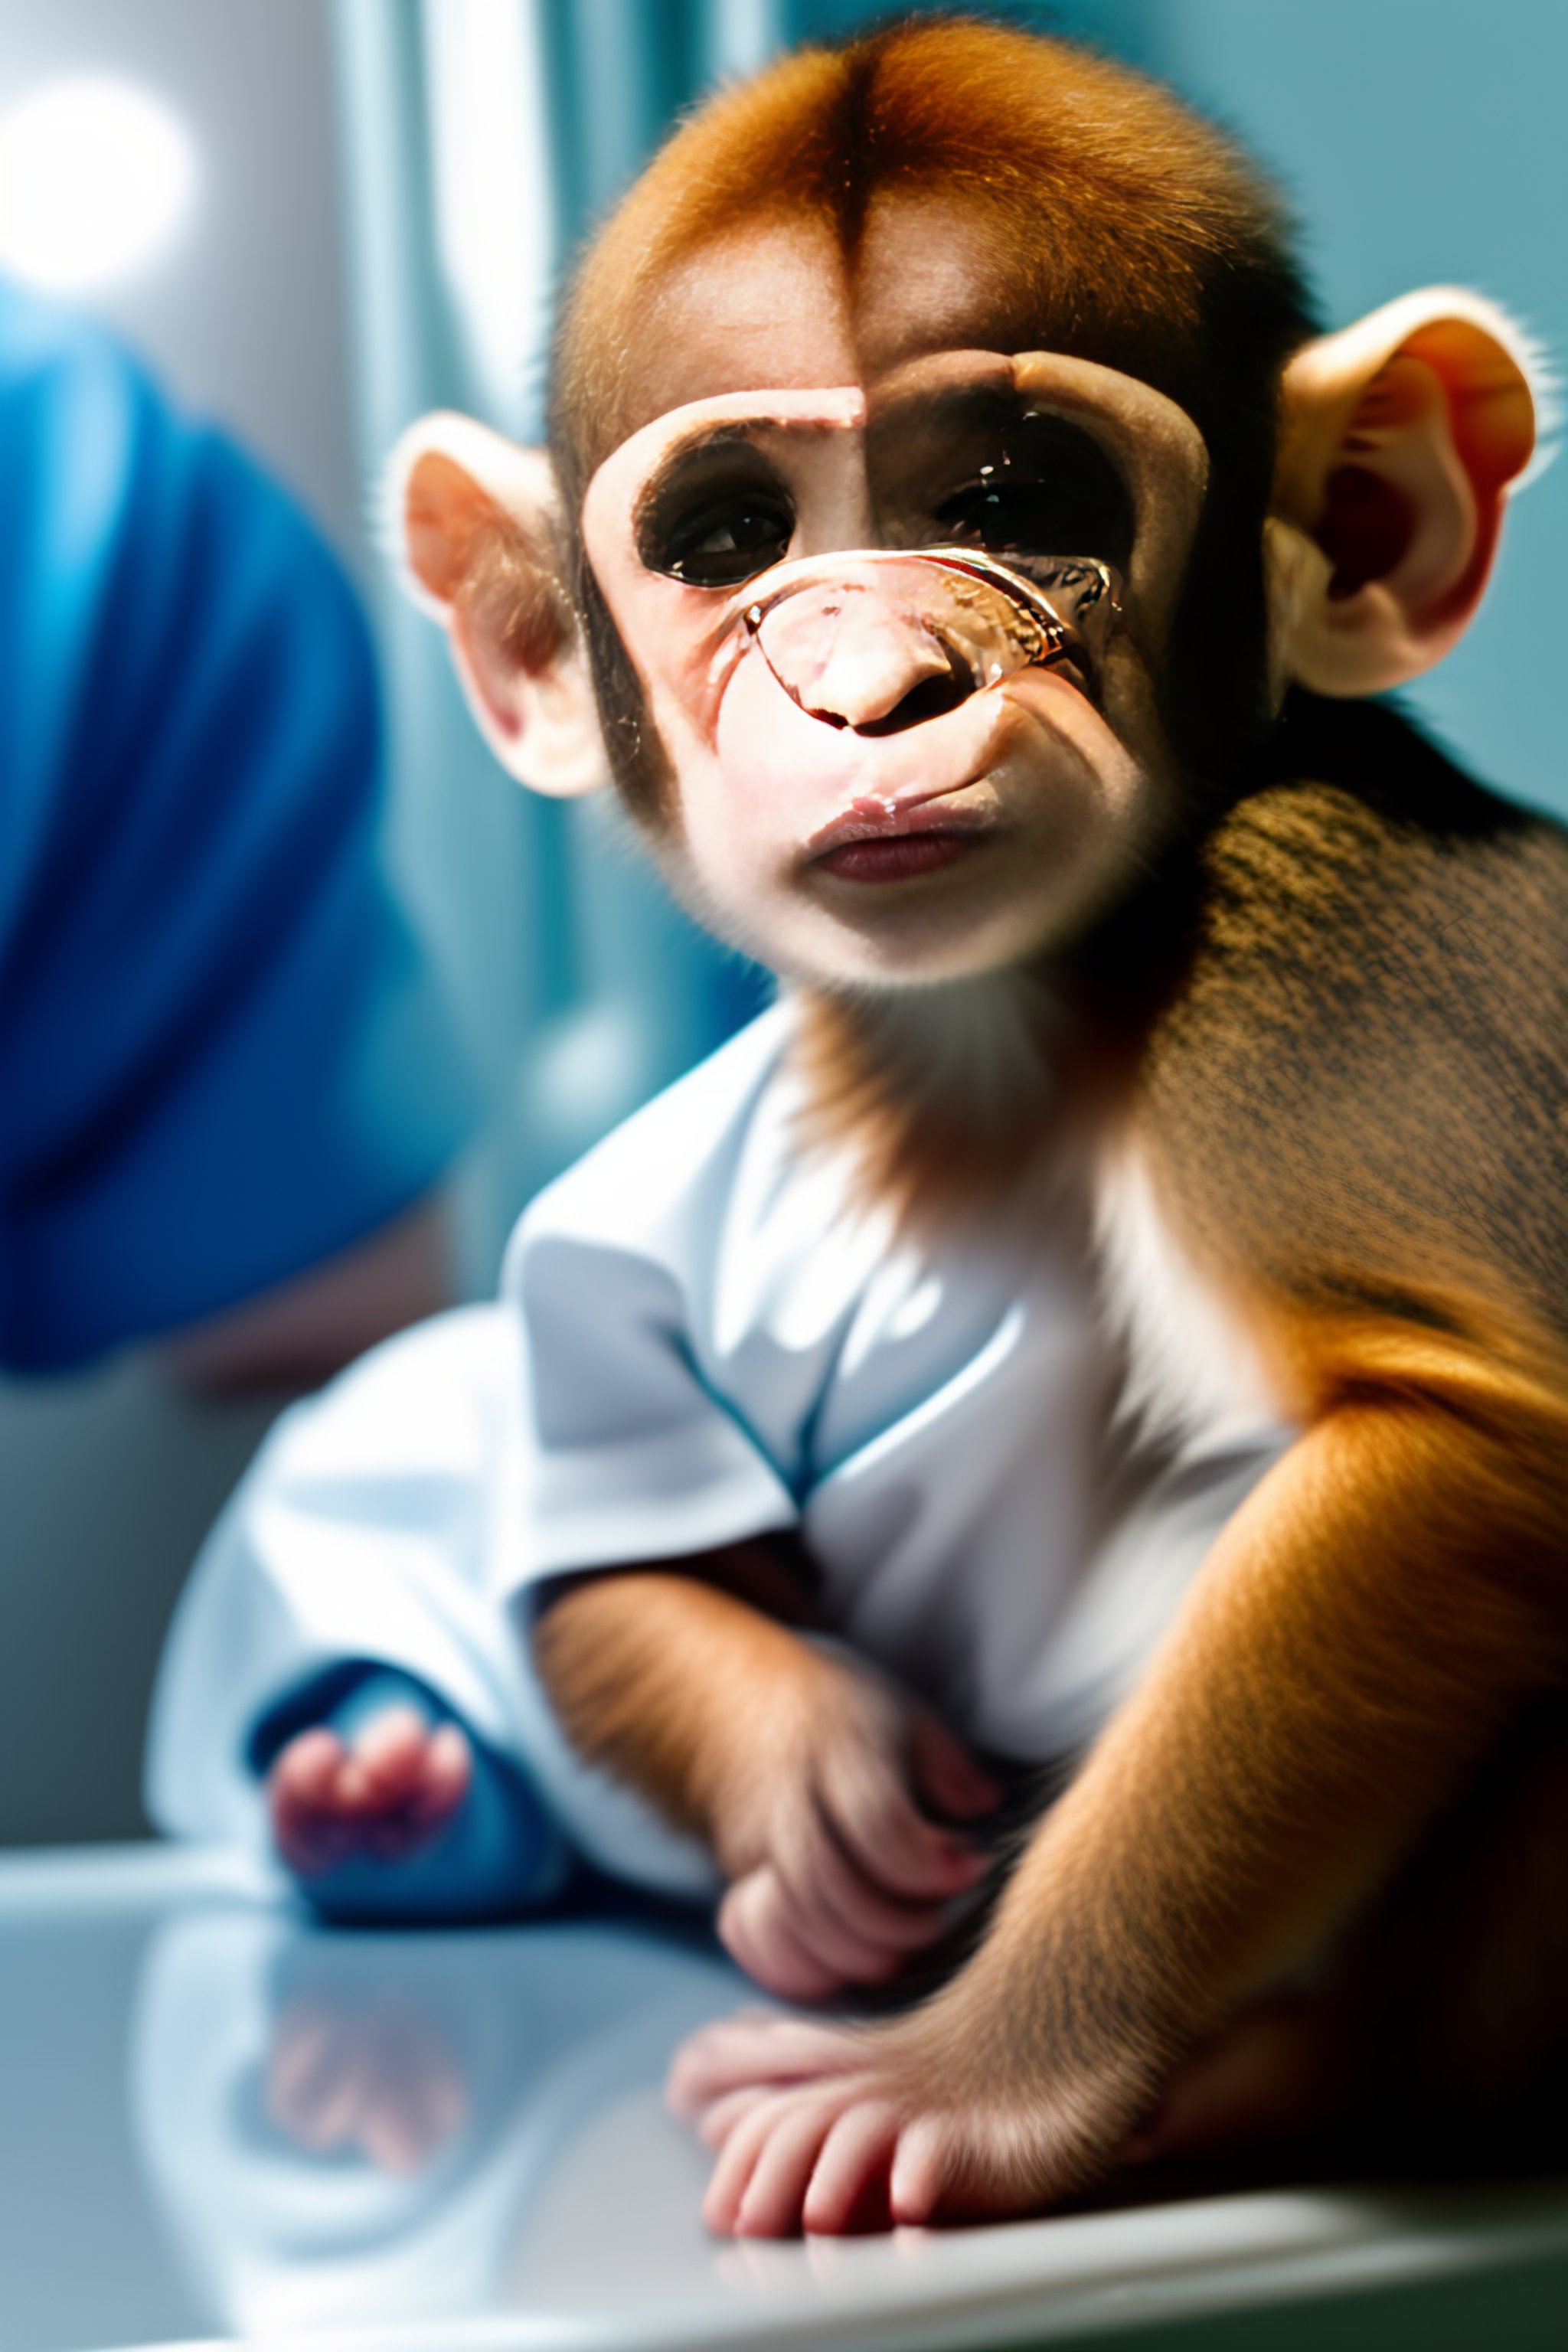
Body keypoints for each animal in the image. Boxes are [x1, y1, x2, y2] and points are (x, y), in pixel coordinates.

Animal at [252, 14, 1568, 2240]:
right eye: (727, 541)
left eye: (1011, 500)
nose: (872, 682)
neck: (1004, 1037)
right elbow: (630, 1561)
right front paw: (818, 1784)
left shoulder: (1309, 975)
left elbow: (1452, 1464)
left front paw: (985, 2071)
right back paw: (379, 1794)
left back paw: (1306, 2083)